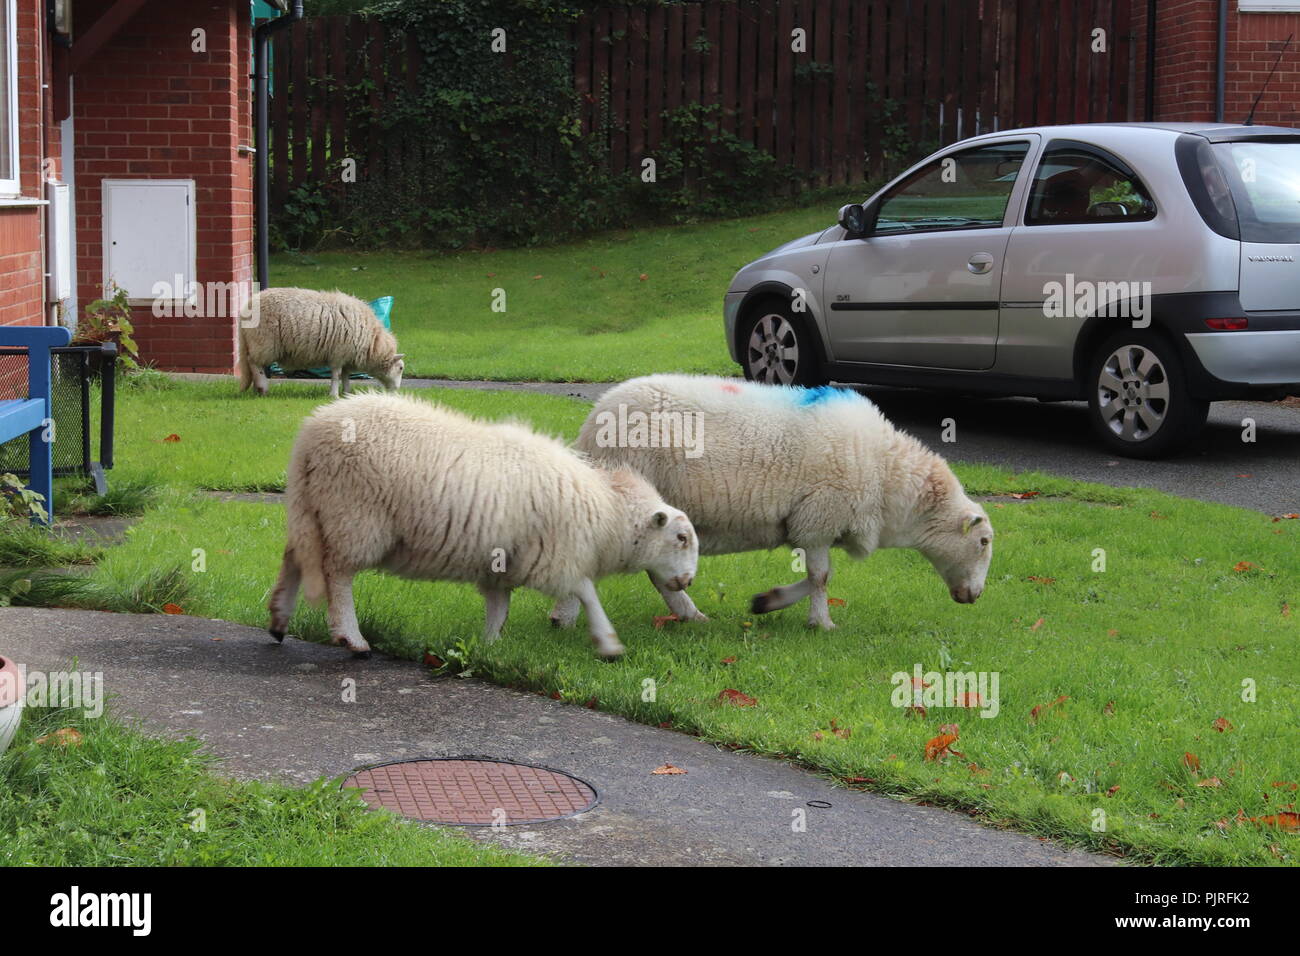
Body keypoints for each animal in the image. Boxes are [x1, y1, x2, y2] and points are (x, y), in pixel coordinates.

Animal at [238, 287, 405, 399]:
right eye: (401, 368)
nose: (397, 391)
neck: (373, 343)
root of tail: (246, 307)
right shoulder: (338, 354)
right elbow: (336, 375)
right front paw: (334, 395)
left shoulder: (346, 356)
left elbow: (346, 376)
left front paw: (347, 393)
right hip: (263, 342)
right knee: (254, 363)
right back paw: (262, 387)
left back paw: (256, 389)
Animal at [267, 392, 699, 659]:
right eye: (680, 538)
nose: (688, 581)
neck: (607, 510)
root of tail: (311, 435)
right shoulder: (557, 558)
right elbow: (587, 594)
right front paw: (609, 645)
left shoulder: (503, 562)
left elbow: (499, 607)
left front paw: (490, 647)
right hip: (353, 517)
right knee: (338, 576)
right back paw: (352, 638)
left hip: (312, 510)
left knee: (293, 559)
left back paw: (278, 621)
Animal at [551, 374, 993, 630]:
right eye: (984, 542)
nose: (975, 596)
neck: (891, 479)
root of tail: (593, 420)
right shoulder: (819, 517)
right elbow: (821, 577)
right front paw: (821, 623)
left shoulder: (808, 523)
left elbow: (816, 577)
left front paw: (767, 602)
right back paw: (566, 618)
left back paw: (688, 615)